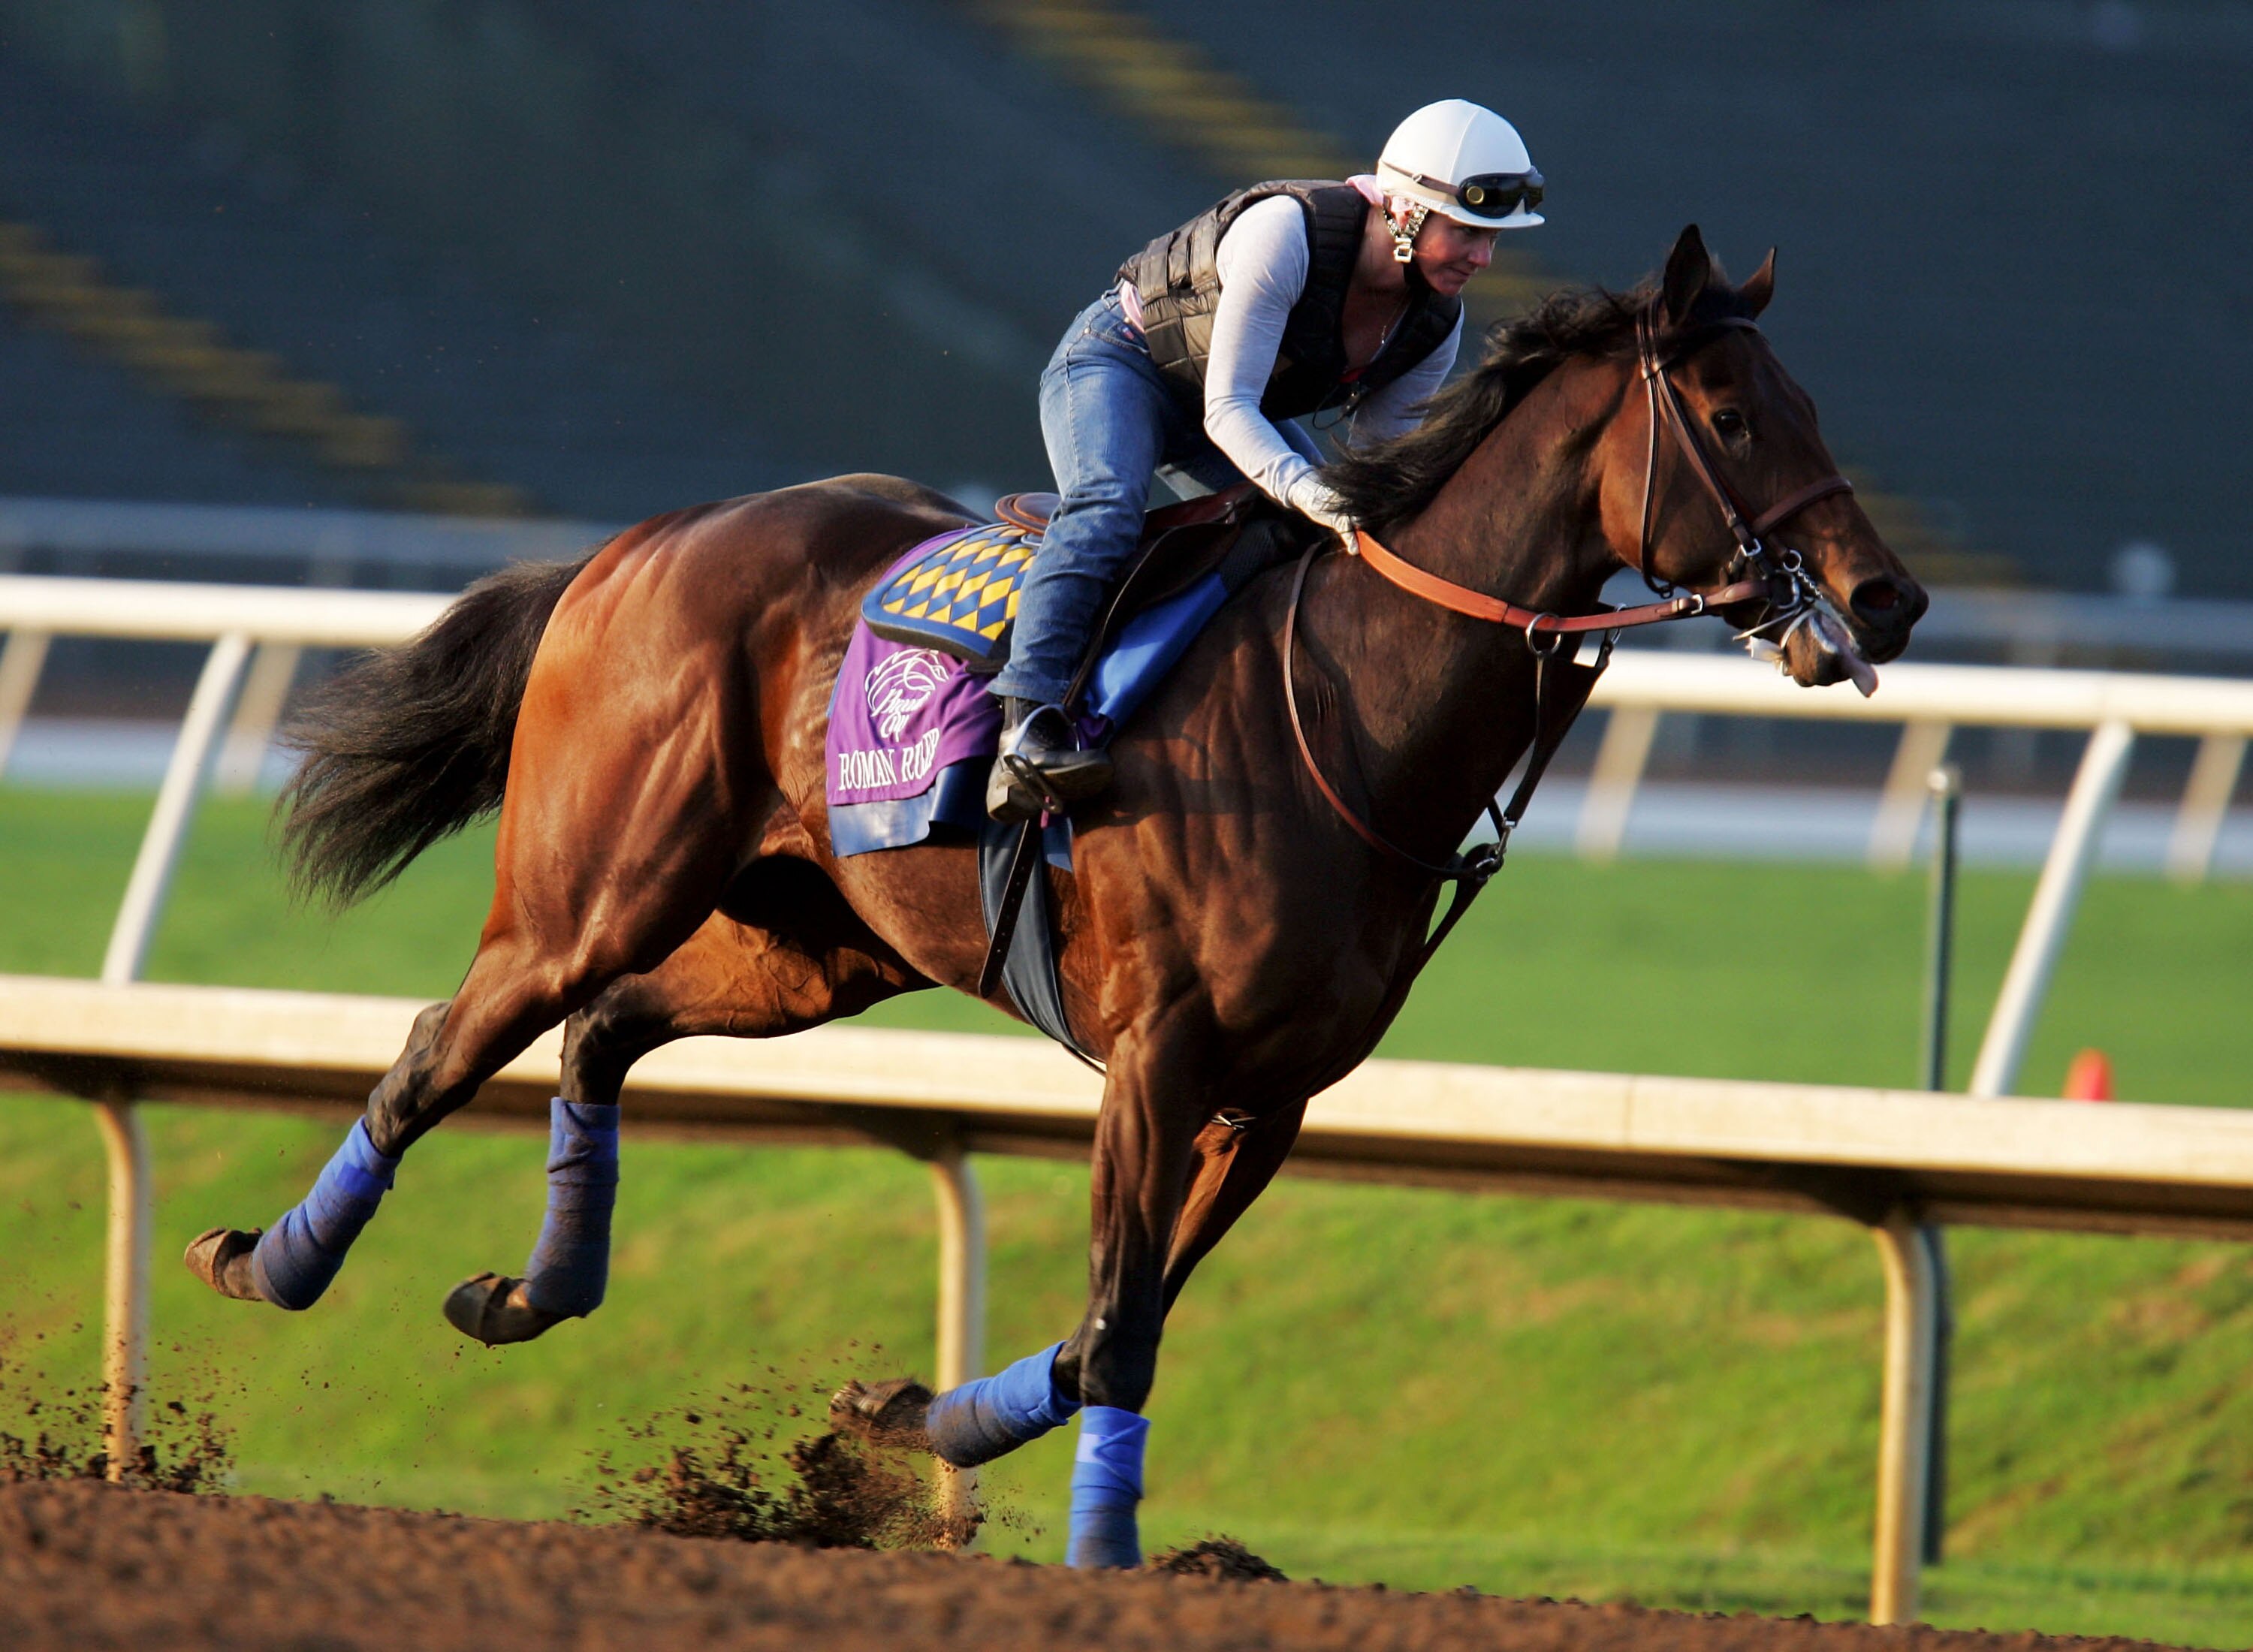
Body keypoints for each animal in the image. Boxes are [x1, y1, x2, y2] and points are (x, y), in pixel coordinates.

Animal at [185, 226, 1927, 1565]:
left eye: (1806, 402)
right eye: (1730, 412)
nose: (1889, 594)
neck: (1351, 707)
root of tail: (636, 544)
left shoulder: (1271, 1096)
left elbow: (1105, 1336)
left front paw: (906, 1413)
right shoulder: (1160, 1059)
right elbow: (1122, 1324)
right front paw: (1103, 1556)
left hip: (813, 951)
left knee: (603, 1029)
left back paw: (530, 1290)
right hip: (595, 883)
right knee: (447, 1041)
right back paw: (270, 1262)